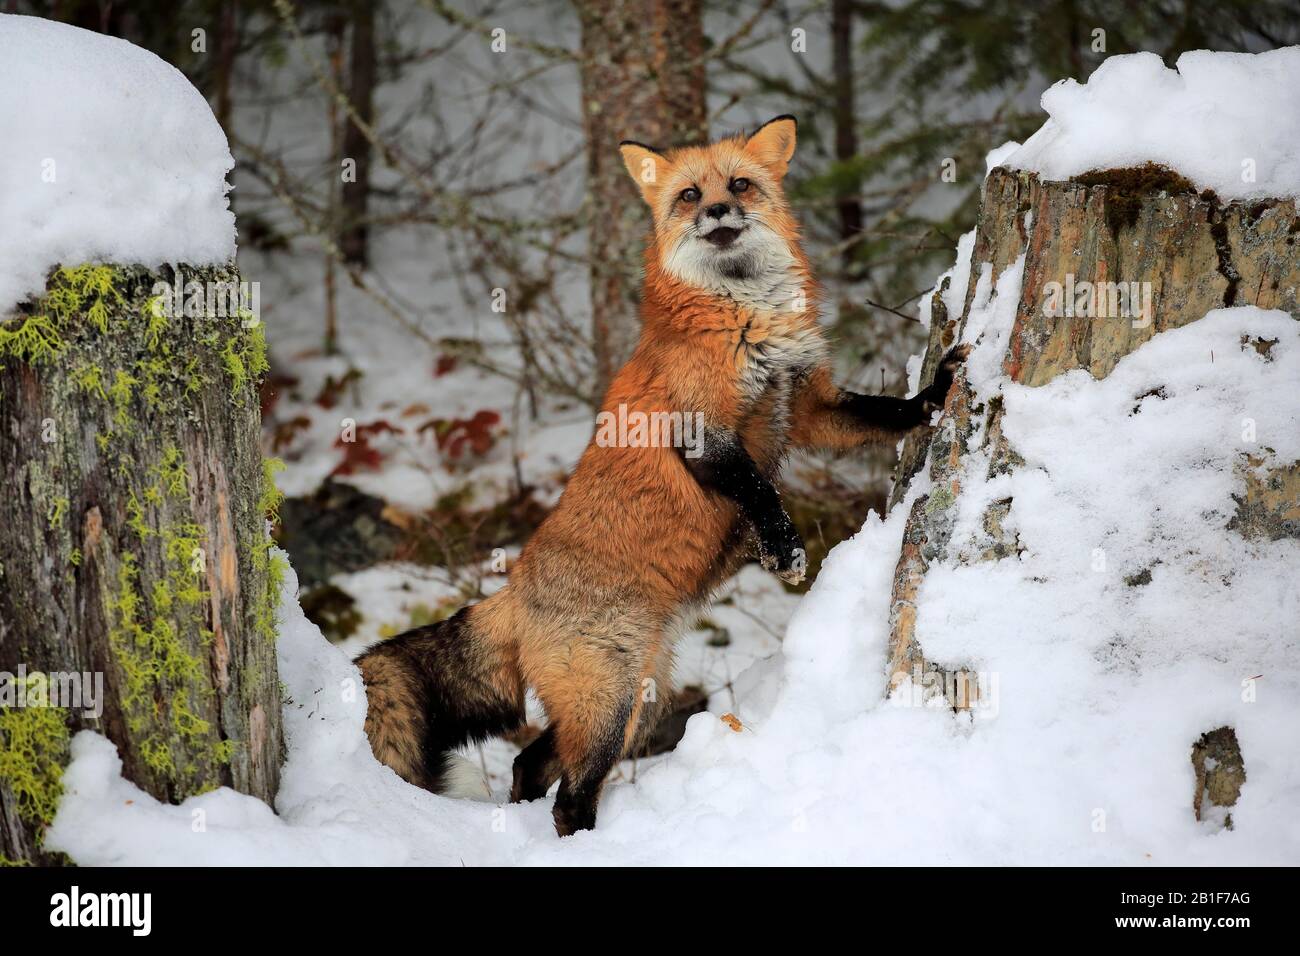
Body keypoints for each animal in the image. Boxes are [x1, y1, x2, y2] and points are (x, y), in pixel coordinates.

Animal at [356, 115, 969, 836]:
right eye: (689, 195)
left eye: (739, 185)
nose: (717, 213)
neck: (745, 319)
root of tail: (514, 589)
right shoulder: (701, 435)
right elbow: (761, 488)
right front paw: (785, 549)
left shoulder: (808, 406)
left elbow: (884, 414)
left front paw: (934, 396)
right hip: (611, 705)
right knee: (568, 794)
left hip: (638, 702)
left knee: (529, 764)